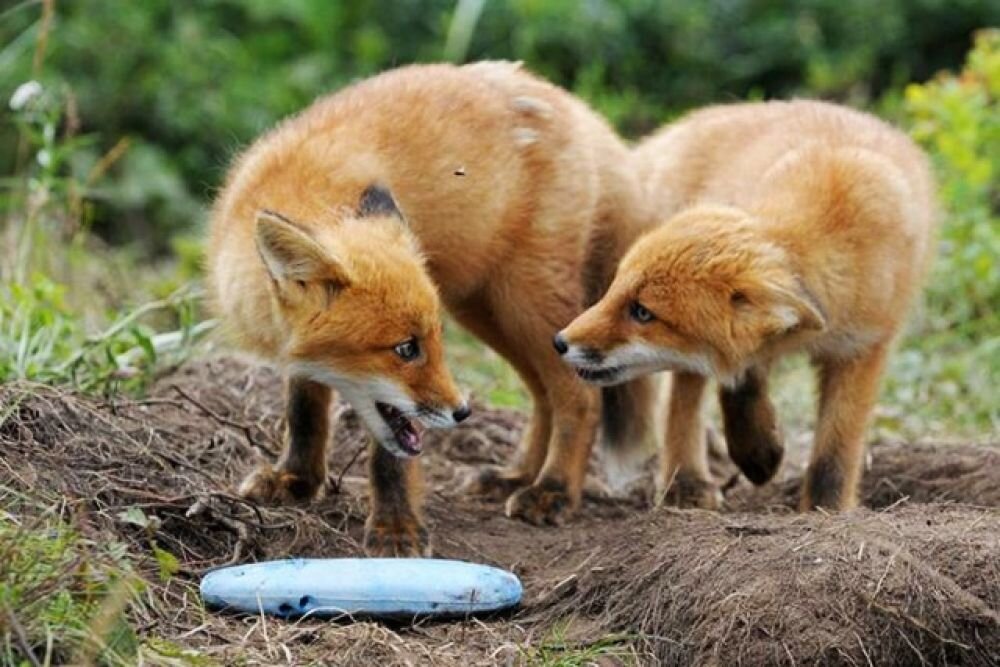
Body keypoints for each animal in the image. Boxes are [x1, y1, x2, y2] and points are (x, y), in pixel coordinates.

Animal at [206, 62, 652, 556]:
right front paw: (296, 480)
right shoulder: (297, 349)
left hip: (527, 300)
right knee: (543, 393)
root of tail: (575, 106)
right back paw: (517, 475)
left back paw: (552, 490)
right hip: (484, 309)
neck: (307, 181)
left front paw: (395, 527)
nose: (462, 413)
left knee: (580, 395)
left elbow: (391, 457)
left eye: (429, 343)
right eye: (406, 348)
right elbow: (303, 413)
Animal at [560, 100, 932, 512]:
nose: (559, 342)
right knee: (684, 403)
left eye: (642, 312)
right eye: (613, 291)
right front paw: (757, 453)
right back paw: (687, 484)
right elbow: (733, 389)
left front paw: (826, 510)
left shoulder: (863, 347)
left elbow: (833, 456)